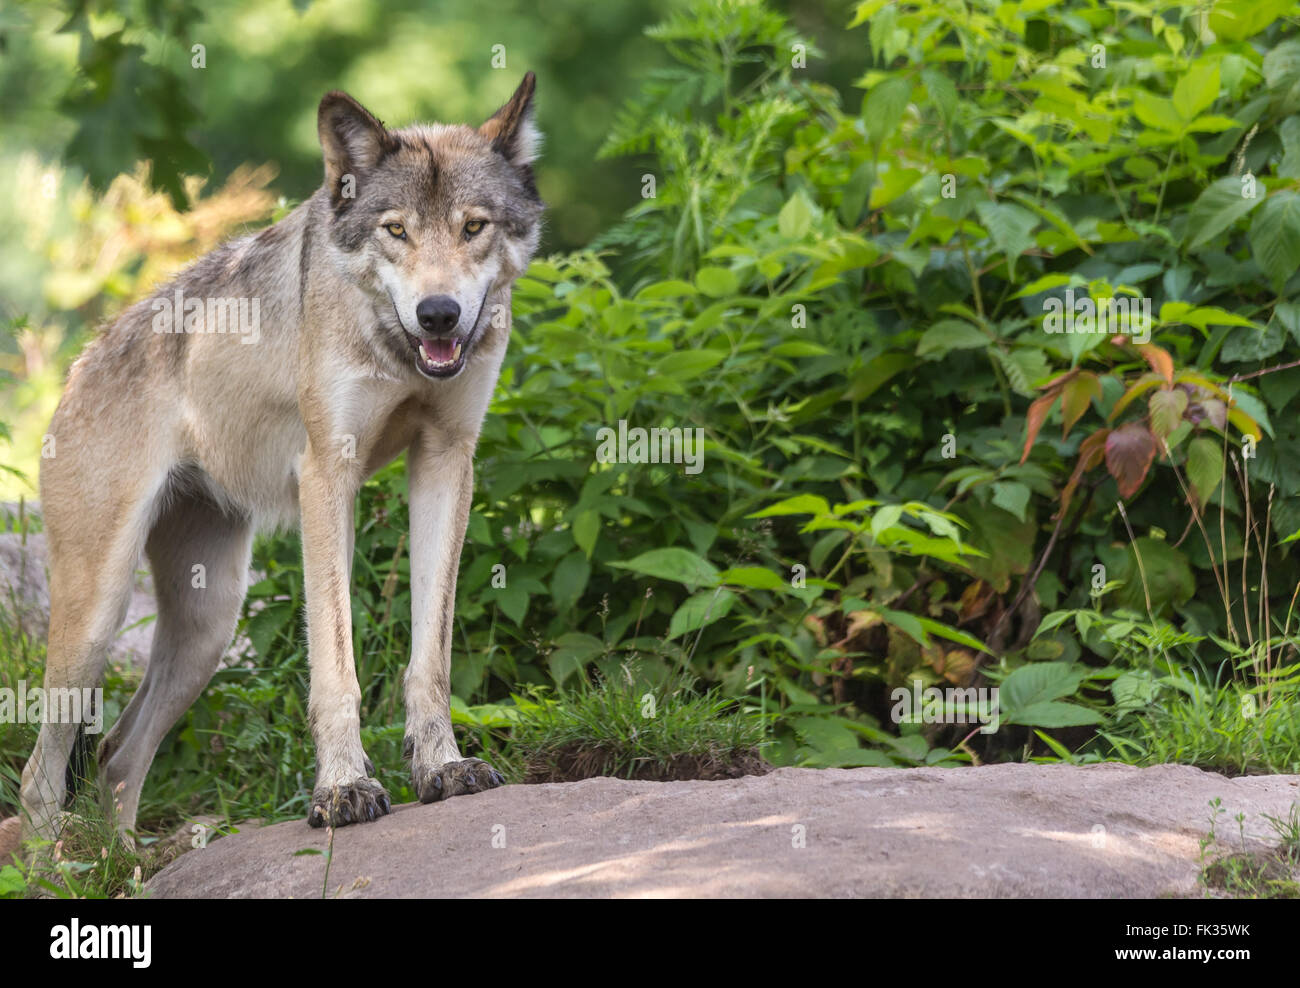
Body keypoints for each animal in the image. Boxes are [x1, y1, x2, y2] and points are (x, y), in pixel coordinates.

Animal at [19, 74, 544, 843]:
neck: (393, 344)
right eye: (396, 231)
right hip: (97, 617)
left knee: (117, 754)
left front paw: (442, 769)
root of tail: (80, 361)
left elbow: (431, 657)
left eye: (473, 227)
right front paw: (344, 790)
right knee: (41, 774)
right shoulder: (328, 475)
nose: (439, 314)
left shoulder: (447, 460)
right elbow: (335, 667)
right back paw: (59, 863)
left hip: (209, 624)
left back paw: (124, 861)